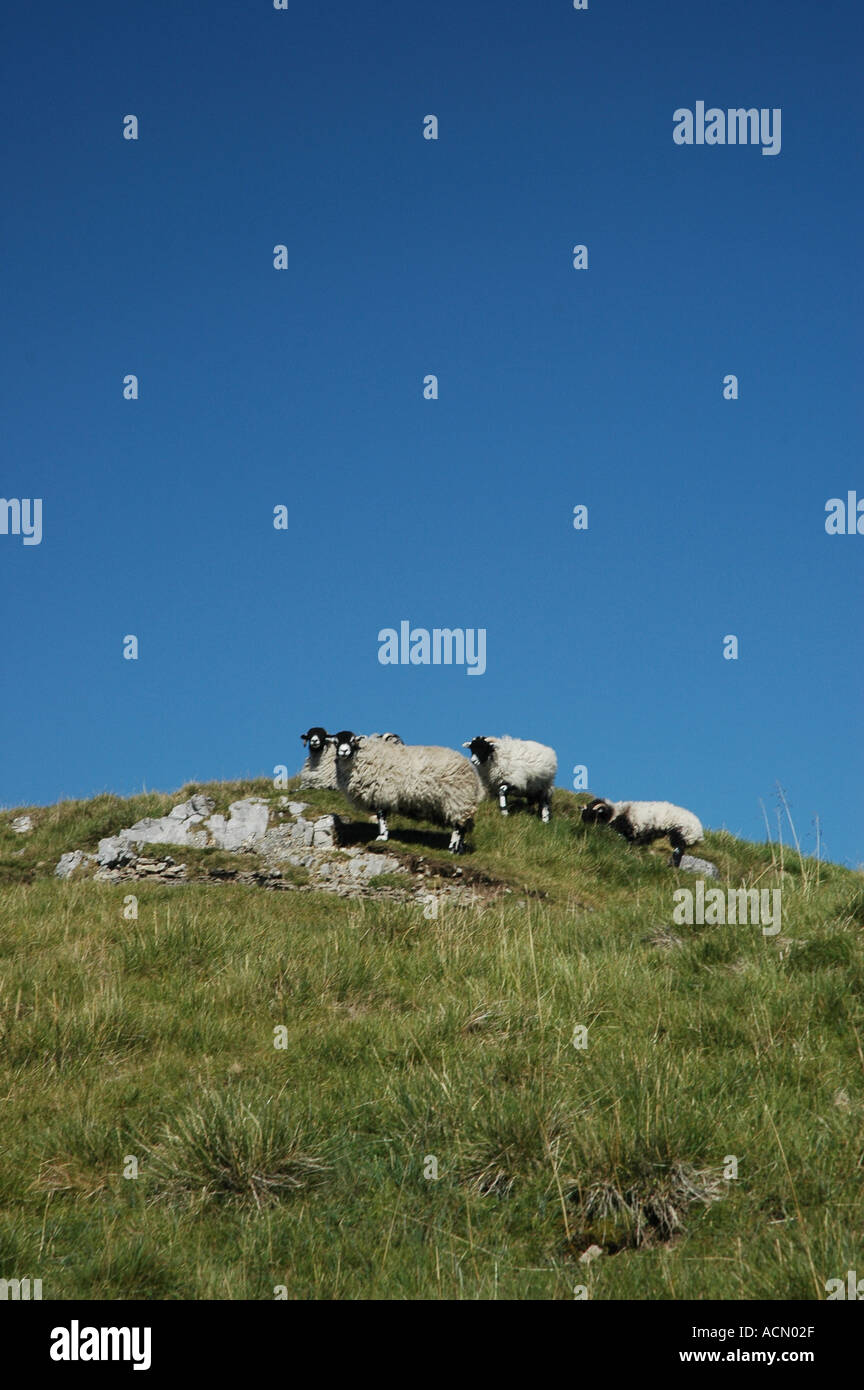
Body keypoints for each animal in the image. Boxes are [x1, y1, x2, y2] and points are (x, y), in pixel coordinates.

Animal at [331, 731, 480, 853]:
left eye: (353, 740)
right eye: (336, 742)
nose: (343, 751)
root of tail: (471, 771)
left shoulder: (381, 792)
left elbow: (381, 815)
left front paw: (382, 836)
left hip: (457, 800)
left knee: (458, 827)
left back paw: (452, 849)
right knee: (463, 827)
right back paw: (460, 849)